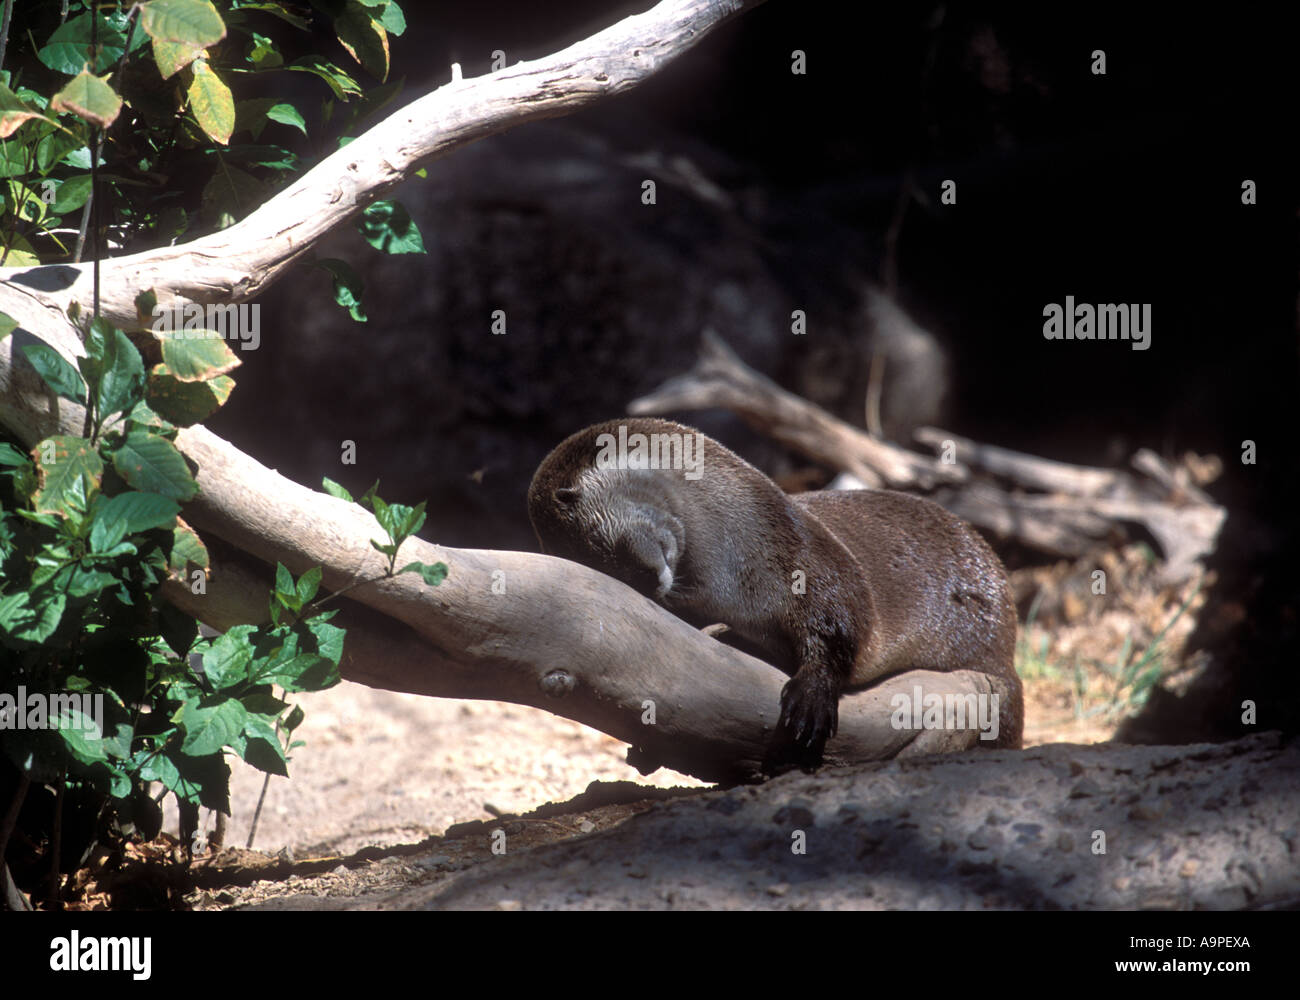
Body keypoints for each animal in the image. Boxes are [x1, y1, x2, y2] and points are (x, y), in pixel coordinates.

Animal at [527, 417, 1021, 767]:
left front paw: (811, 699)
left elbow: (840, 626)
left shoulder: (813, 561)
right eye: (604, 568)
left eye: (616, 548)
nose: (652, 583)